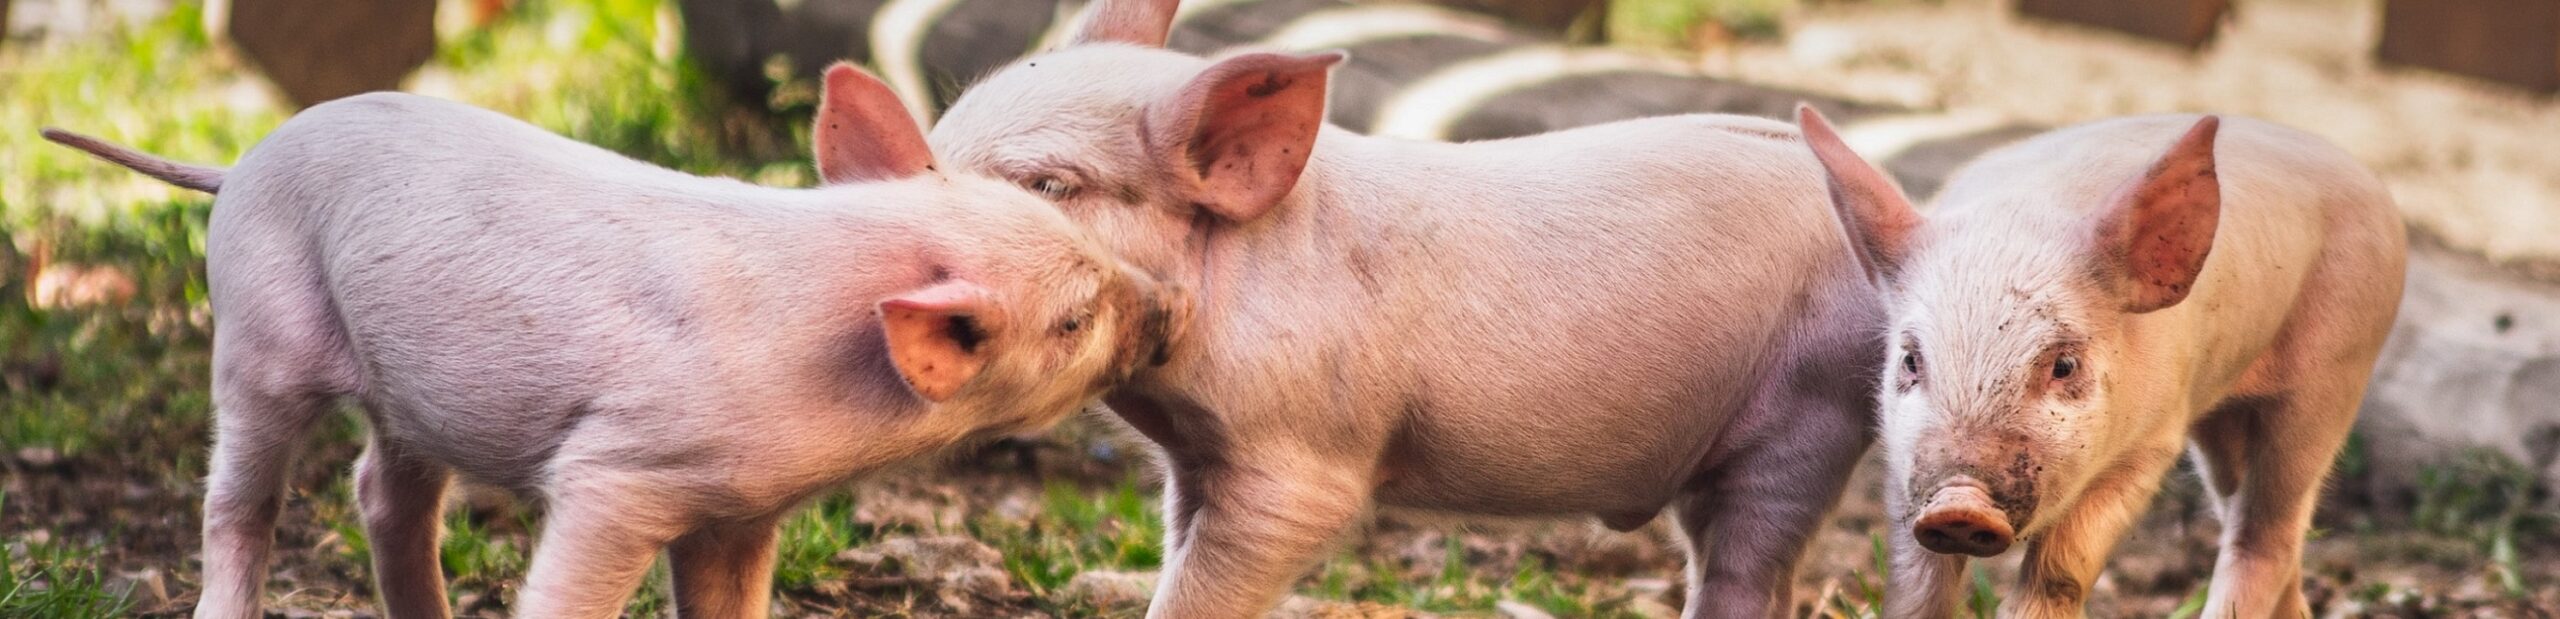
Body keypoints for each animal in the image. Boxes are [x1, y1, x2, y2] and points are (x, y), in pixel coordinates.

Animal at [44, 63, 1180, 619]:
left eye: (1071, 229)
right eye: (1073, 318)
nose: (1170, 306)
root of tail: (238, 163)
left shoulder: (741, 510)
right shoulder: (620, 471)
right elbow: (571, 585)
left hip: (409, 390)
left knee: (385, 491)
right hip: (256, 329)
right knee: (241, 498)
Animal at [923, 1, 1886, 616]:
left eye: (1050, 185)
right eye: (942, 138)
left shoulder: (1304, 451)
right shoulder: (1193, 457)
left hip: (1807, 417)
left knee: (1751, 571)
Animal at [1792, 106, 2405, 618]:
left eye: (2064, 365)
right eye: (1911, 359)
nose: (1960, 506)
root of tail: (2367, 178)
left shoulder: (2151, 442)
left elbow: (2058, 573)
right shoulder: (1906, 464)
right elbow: (1917, 586)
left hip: (2334, 373)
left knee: (2265, 534)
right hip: (2228, 421)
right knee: (2258, 520)